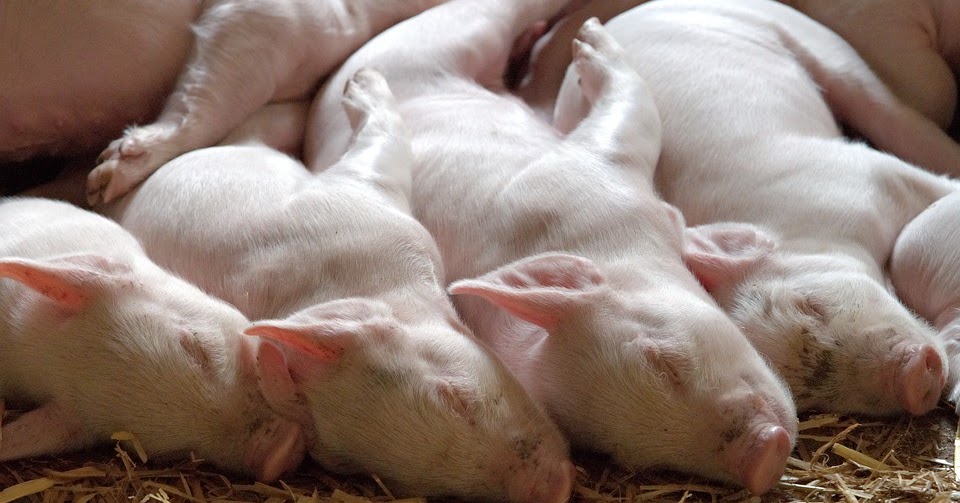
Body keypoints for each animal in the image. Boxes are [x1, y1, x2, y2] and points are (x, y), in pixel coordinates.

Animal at [100, 68, 575, 502]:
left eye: (456, 396)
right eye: (405, 480)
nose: (554, 490)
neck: (368, 283)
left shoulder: (363, 204)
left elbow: (383, 145)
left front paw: (362, 78)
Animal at [304, 0, 798, 495]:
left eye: (664, 361)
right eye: (625, 453)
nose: (765, 458)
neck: (606, 241)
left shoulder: (588, 166)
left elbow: (635, 113)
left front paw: (591, 42)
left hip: (446, 42)